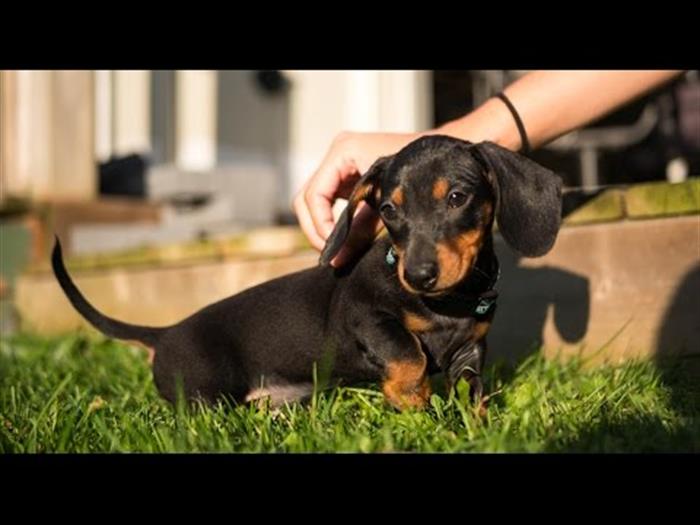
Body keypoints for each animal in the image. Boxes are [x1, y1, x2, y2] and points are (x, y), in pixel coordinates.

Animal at [52, 135, 560, 410]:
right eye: (389, 210)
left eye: (457, 197)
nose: (417, 276)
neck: (445, 306)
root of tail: (166, 332)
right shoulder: (364, 316)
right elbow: (407, 352)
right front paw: (409, 398)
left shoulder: (471, 352)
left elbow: (474, 394)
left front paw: (475, 426)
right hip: (204, 393)